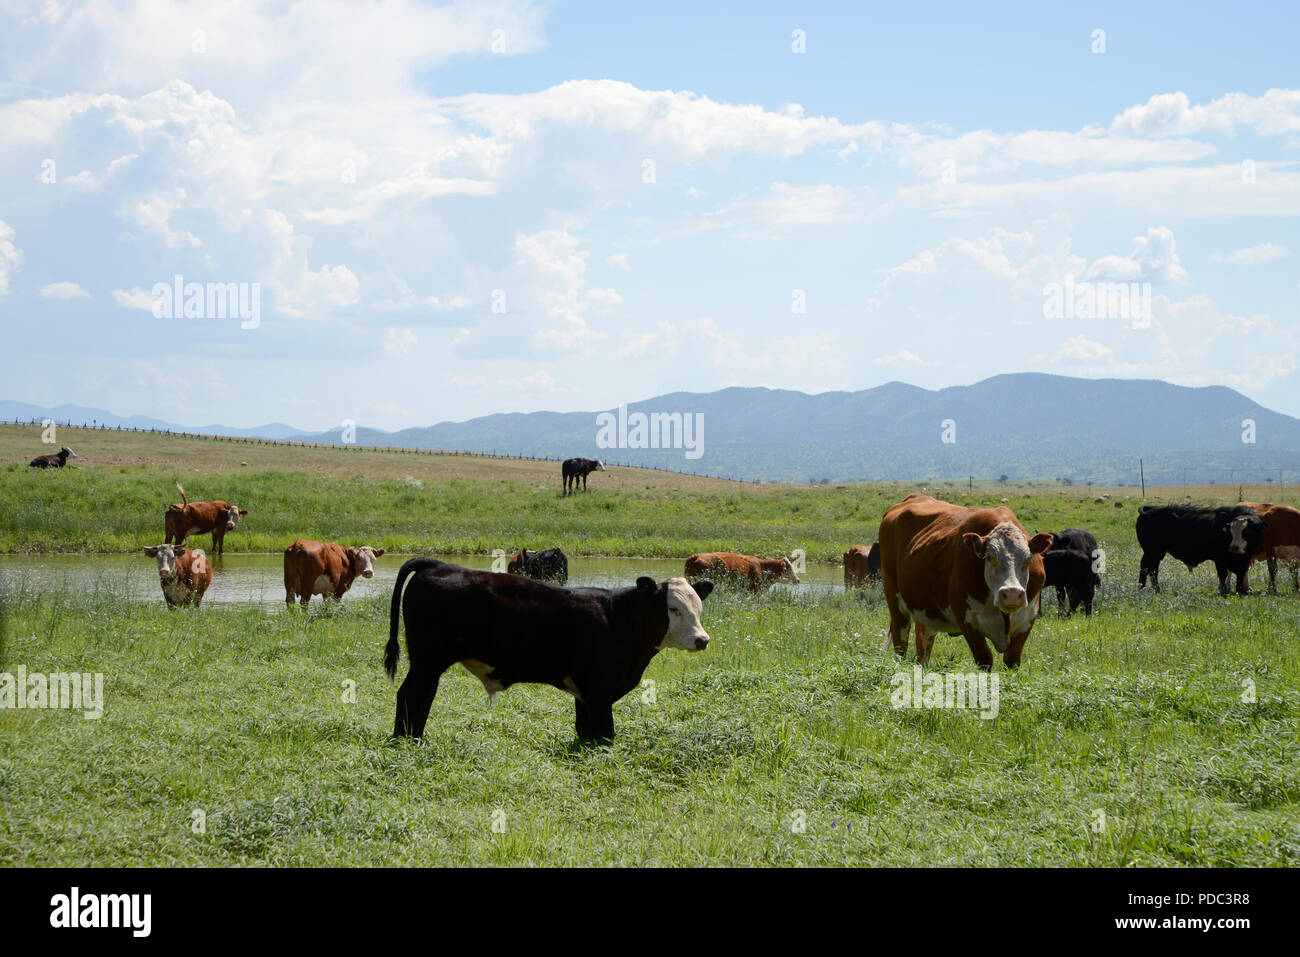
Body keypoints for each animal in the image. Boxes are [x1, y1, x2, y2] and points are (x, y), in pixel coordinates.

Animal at [384, 558, 714, 741]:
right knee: (413, 695)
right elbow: (605, 733)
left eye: (698, 607)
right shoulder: (600, 691)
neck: (618, 617)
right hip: (428, 662)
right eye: (673, 608)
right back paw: (410, 740)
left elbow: (586, 731)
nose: (702, 640)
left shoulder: (586, 694)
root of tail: (438, 564)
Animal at [879, 493, 1053, 670]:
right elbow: (984, 659)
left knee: (923, 645)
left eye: (1028, 559)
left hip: (925, 611)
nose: (1011, 594)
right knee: (900, 644)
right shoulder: (967, 621)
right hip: (894, 602)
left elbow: (1012, 661)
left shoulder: (1027, 620)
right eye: (990, 558)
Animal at [1136, 504, 1266, 596]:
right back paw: (1145, 587)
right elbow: (1223, 575)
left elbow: (1241, 573)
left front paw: (1241, 591)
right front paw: (1223, 591)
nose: (1234, 547)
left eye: (1247, 531)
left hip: (1155, 553)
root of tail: (1152, 508)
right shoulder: (1220, 559)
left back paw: (1150, 588)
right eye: (1231, 531)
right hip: (1152, 552)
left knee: (1151, 569)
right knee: (1148, 568)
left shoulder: (1244, 559)